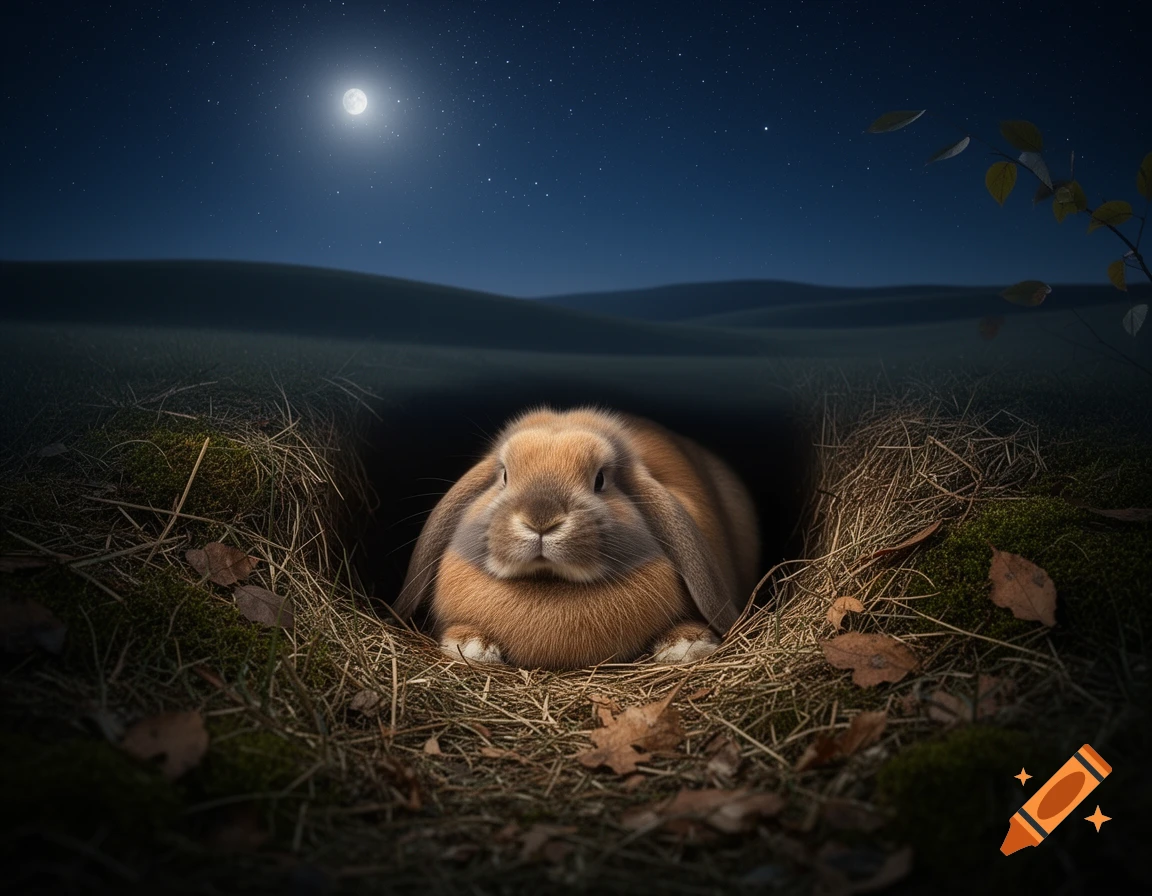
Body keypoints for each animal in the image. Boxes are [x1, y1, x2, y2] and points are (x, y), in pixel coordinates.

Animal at [393, 406, 760, 670]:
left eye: (600, 480)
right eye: (504, 476)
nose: (541, 519)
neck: (550, 582)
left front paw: (685, 643)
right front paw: (471, 644)